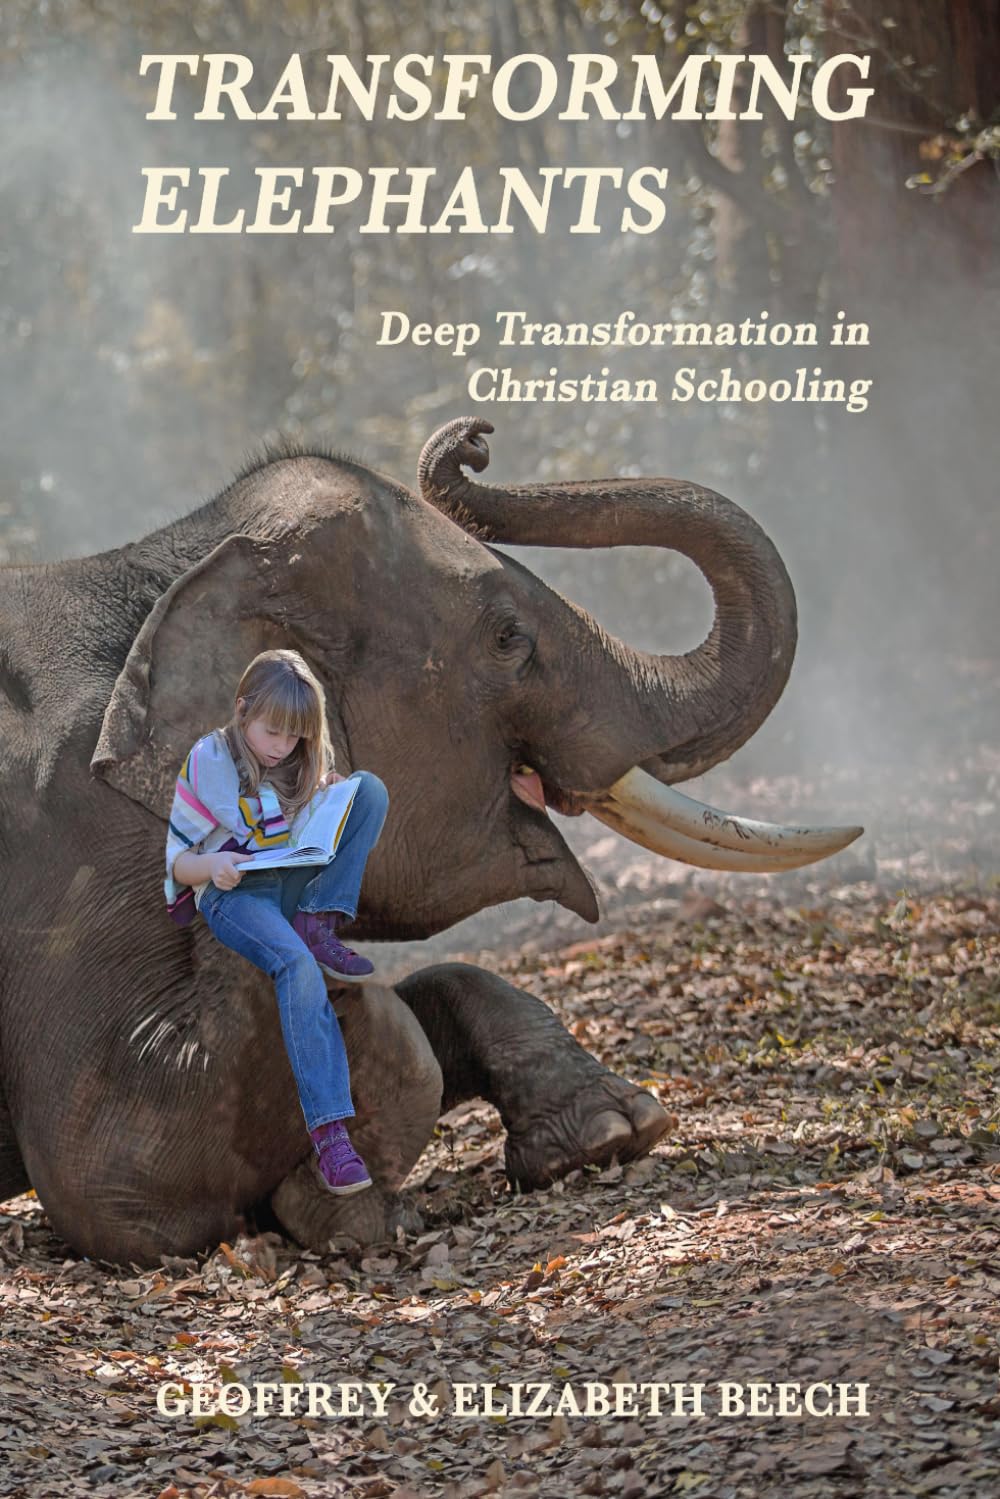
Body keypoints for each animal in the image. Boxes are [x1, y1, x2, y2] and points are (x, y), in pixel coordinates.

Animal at [0, 415, 860, 1267]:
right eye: (509, 637)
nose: (473, 441)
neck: (163, 566)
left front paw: (613, 1130)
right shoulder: (81, 843)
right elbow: (110, 1170)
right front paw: (345, 1207)